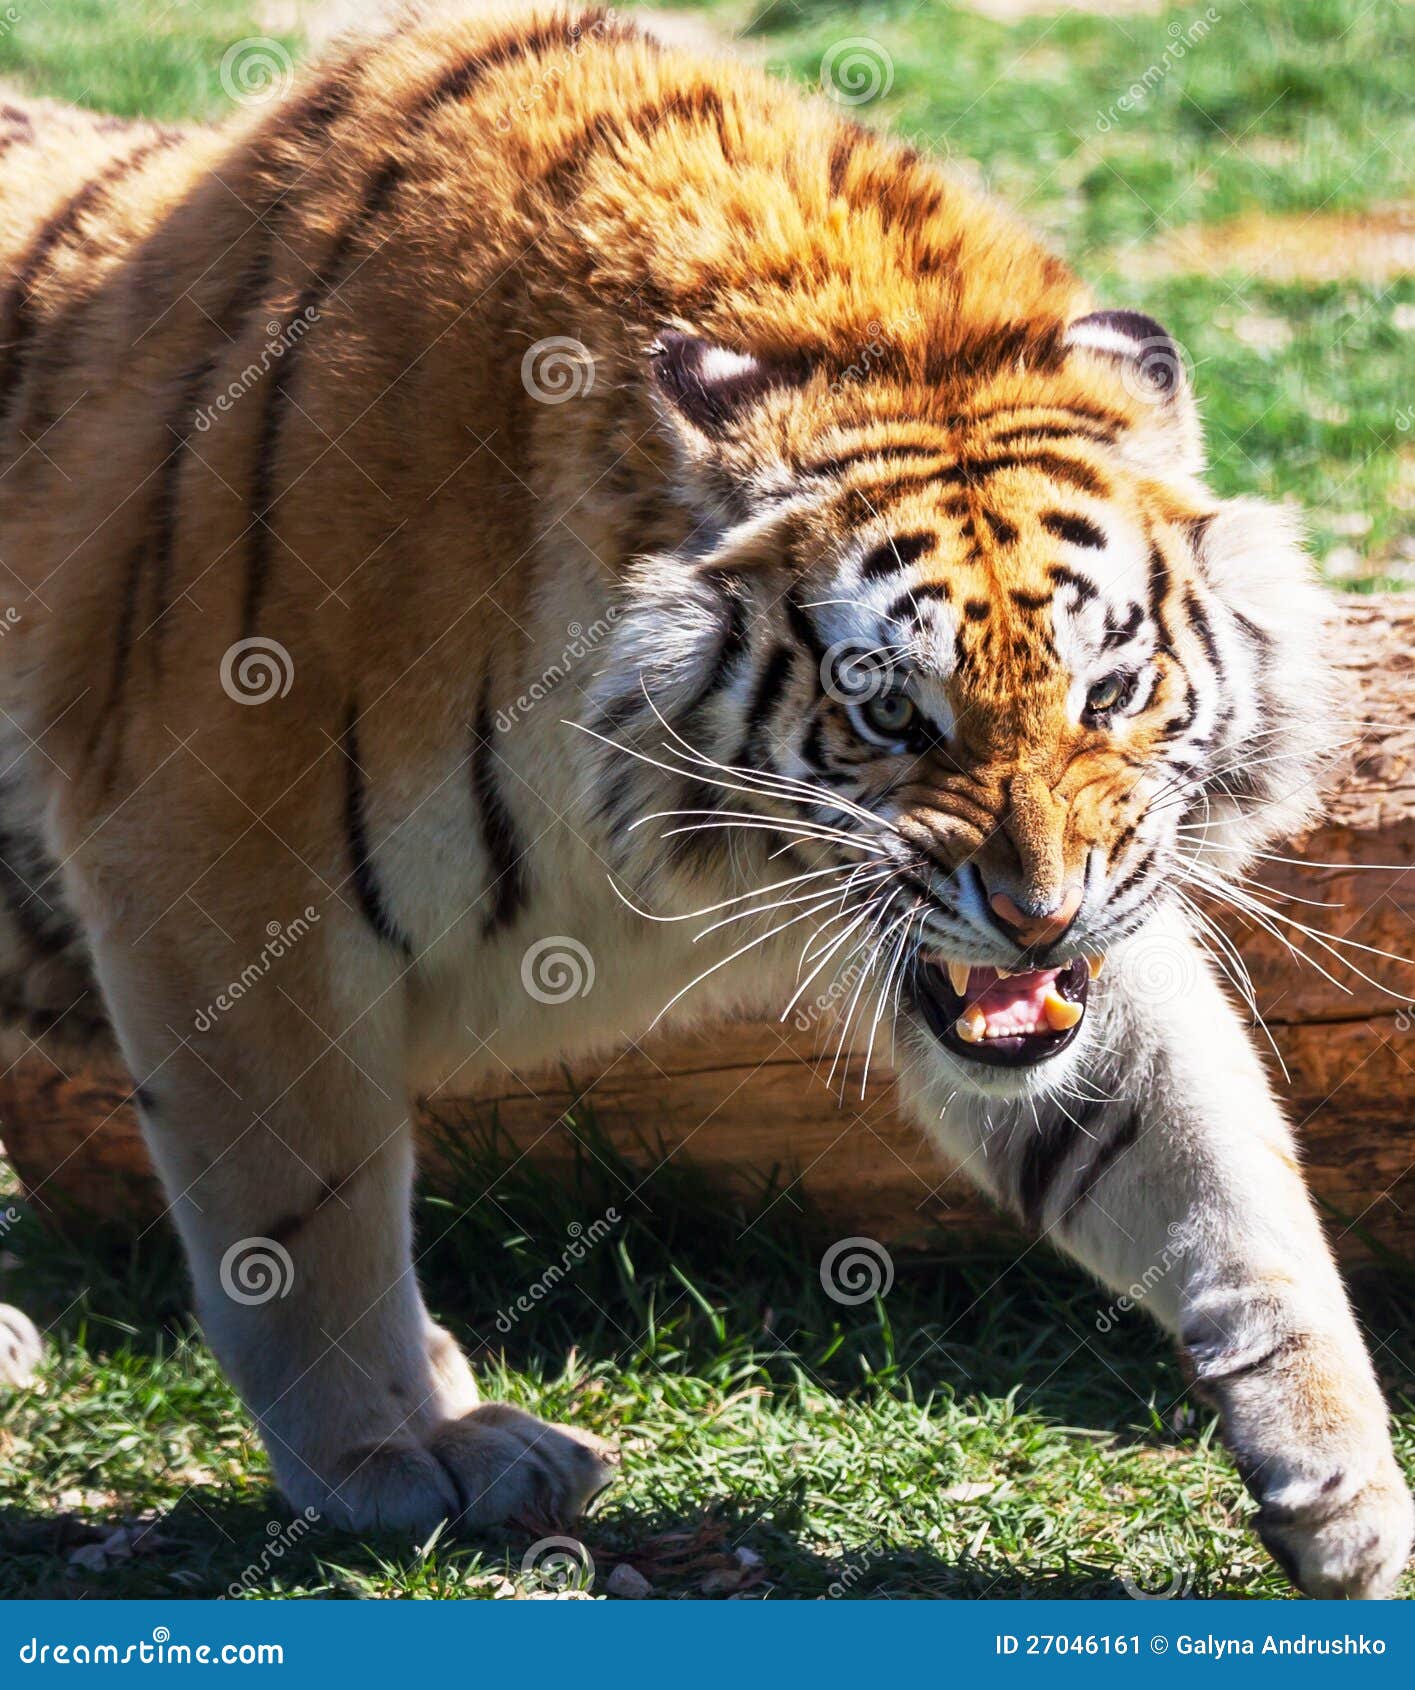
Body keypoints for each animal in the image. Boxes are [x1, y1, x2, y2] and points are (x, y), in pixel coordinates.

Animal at [0, 3, 1408, 1597]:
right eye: (887, 707)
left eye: (1105, 692)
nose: (1037, 913)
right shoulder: (211, 851)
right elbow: (301, 1212)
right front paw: (388, 1458)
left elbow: (1201, 1149)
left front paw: (1343, 1480)